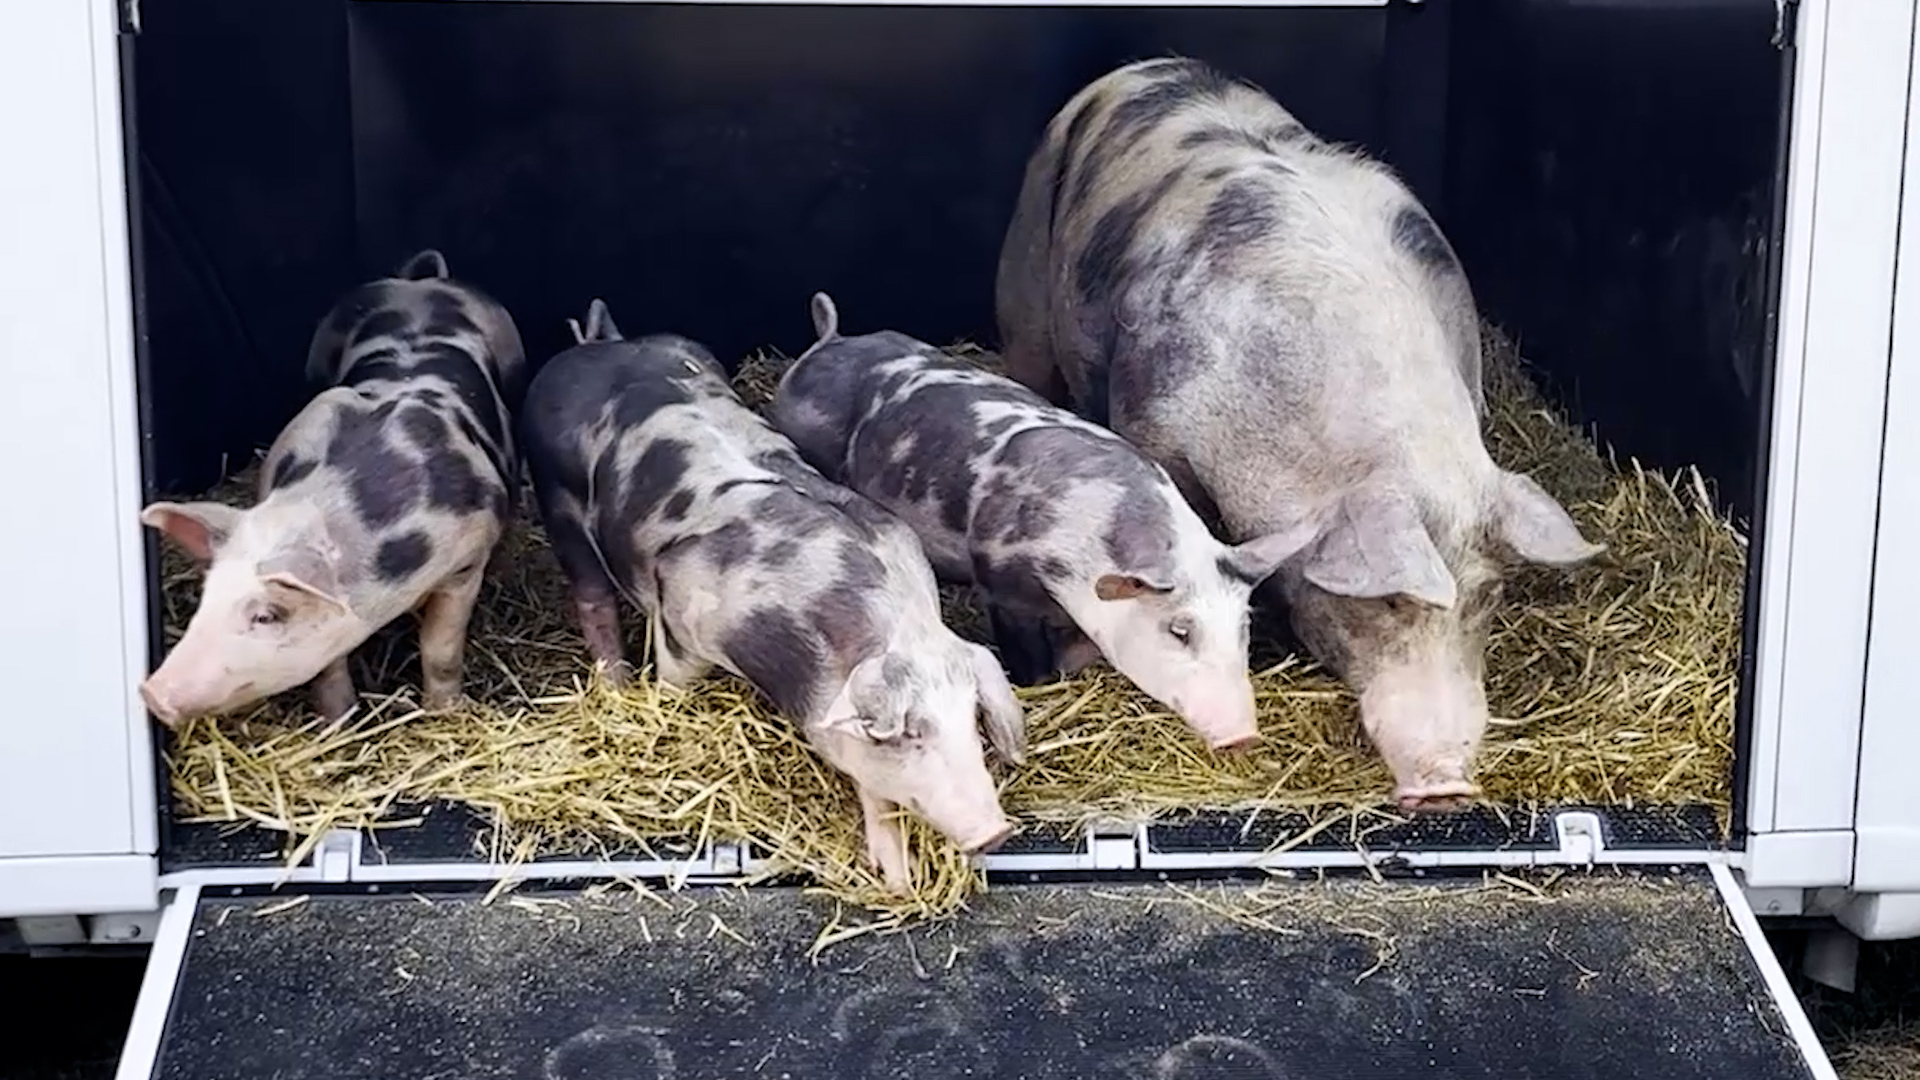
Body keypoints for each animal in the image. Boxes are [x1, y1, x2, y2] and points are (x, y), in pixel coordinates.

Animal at [139, 248, 527, 727]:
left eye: (266, 615)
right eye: (206, 595)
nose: (152, 692)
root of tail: (421, 282)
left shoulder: (465, 564)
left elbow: (440, 650)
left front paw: (444, 712)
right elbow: (328, 667)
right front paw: (338, 723)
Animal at [519, 298, 1027, 890]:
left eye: (971, 720)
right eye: (908, 735)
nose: (995, 831)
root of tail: (599, 343)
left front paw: (895, 881)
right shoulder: (679, 620)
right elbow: (673, 682)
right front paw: (660, 709)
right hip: (559, 508)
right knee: (591, 596)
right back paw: (617, 686)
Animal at [771, 291, 1304, 753]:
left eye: (1244, 625)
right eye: (1179, 630)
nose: (1244, 736)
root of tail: (829, 340)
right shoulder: (999, 577)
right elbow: (1023, 651)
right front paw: (1034, 680)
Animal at [994, 57, 1605, 811]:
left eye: (1487, 597)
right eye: (1391, 600)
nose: (1448, 785)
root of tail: (1142, 67)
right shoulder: (1153, 427)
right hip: (1024, 274)